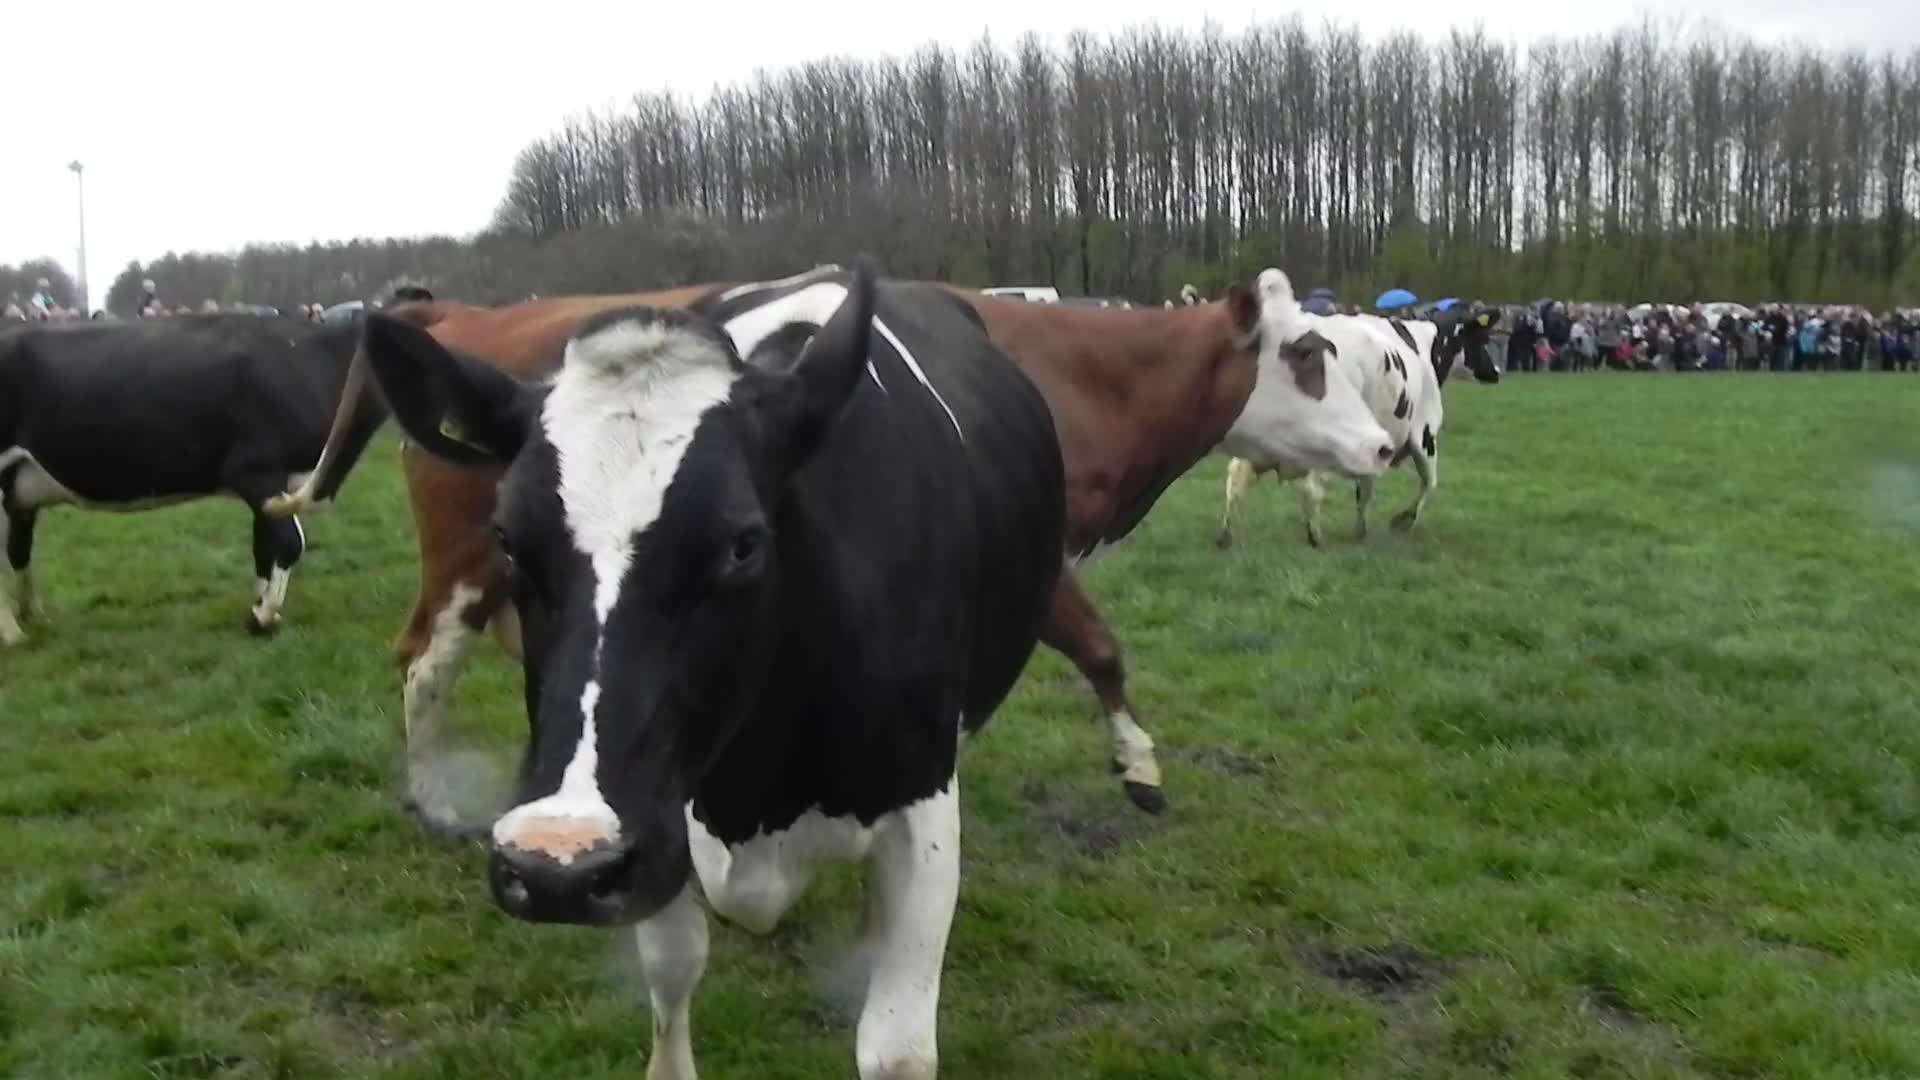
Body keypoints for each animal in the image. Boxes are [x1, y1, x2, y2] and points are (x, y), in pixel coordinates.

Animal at [0, 314, 387, 647]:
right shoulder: (253, 469)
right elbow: (289, 543)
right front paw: (260, 617)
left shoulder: (276, 485)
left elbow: (263, 546)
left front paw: (264, 612)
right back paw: (12, 635)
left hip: (18, 491)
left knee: (18, 549)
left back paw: (34, 616)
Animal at [350, 259, 1066, 1080]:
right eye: (508, 539)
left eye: (742, 545)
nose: (558, 865)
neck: (758, 792)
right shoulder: (661, 819)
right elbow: (672, 971)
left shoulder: (921, 807)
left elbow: (895, 1047)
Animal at [1214, 269, 1501, 549]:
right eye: (1482, 339)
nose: (1496, 371)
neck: (1425, 347)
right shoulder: (1423, 434)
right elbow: (1427, 483)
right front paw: (1399, 521)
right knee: (1311, 488)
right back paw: (1315, 536)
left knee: (1236, 478)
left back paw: (1227, 535)